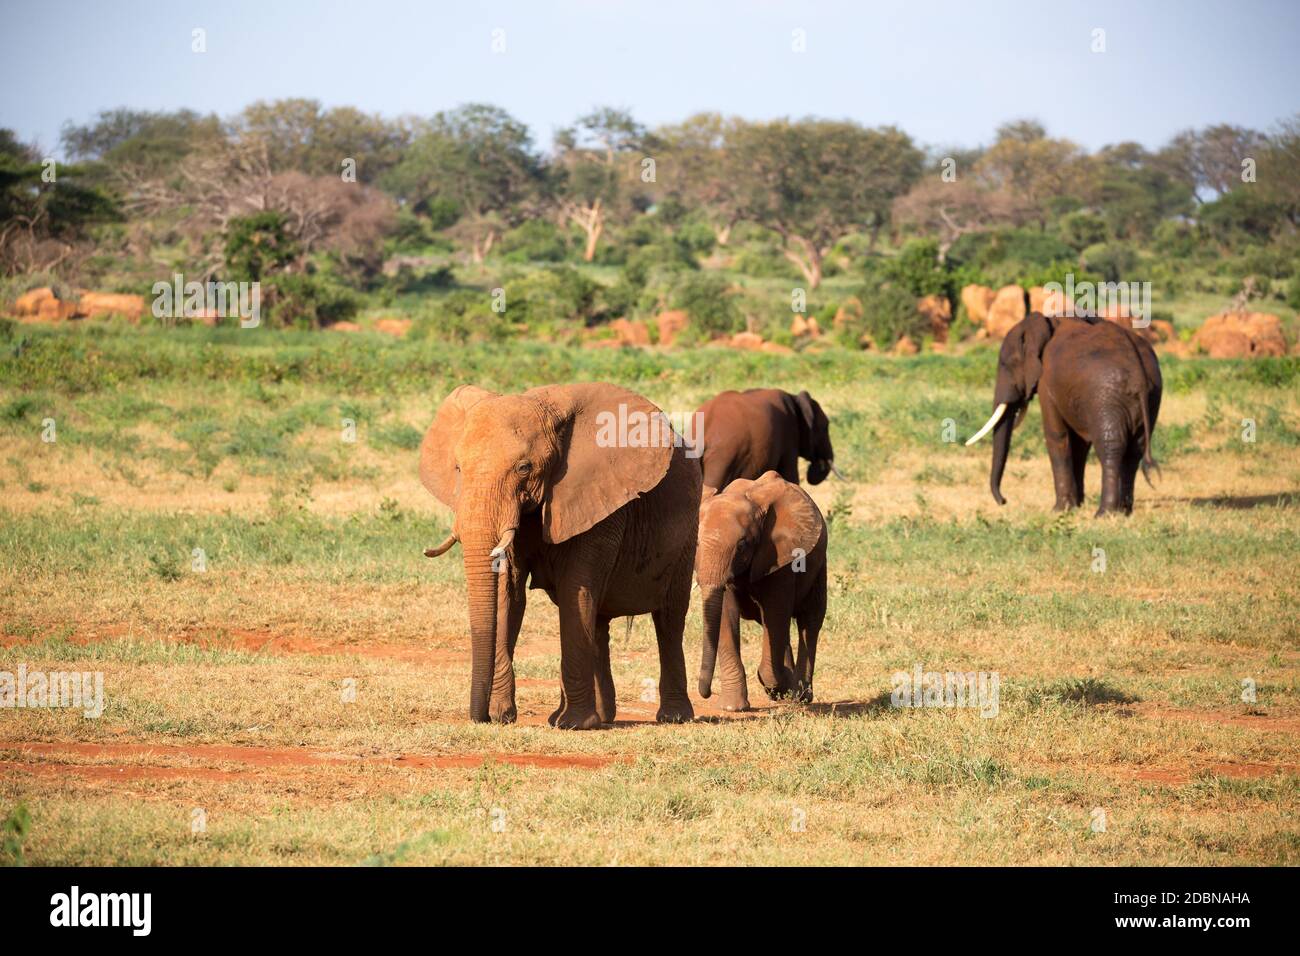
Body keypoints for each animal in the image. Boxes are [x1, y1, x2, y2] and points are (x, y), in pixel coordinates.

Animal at [419, 382, 699, 728]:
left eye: (524, 468)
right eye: (458, 469)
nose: (480, 718)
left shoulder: (598, 499)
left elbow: (574, 591)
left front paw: (574, 724)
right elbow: (508, 594)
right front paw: (503, 715)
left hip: (688, 532)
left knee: (669, 618)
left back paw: (672, 717)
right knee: (598, 619)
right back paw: (602, 717)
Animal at [695, 470, 828, 711]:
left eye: (741, 545)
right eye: (697, 543)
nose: (706, 694)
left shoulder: (781, 556)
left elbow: (775, 613)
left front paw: (780, 685)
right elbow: (725, 615)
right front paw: (732, 707)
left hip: (820, 564)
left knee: (809, 621)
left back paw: (800, 695)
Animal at [966, 312, 1162, 516]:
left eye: (1005, 364)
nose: (1004, 501)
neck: (1048, 323)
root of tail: (1139, 373)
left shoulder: (1046, 381)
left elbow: (1056, 436)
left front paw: (1059, 510)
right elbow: (1079, 444)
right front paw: (1077, 506)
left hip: (1106, 397)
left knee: (1110, 448)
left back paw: (1104, 514)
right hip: (1151, 396)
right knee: (1135, 450)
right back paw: (1124, 512)